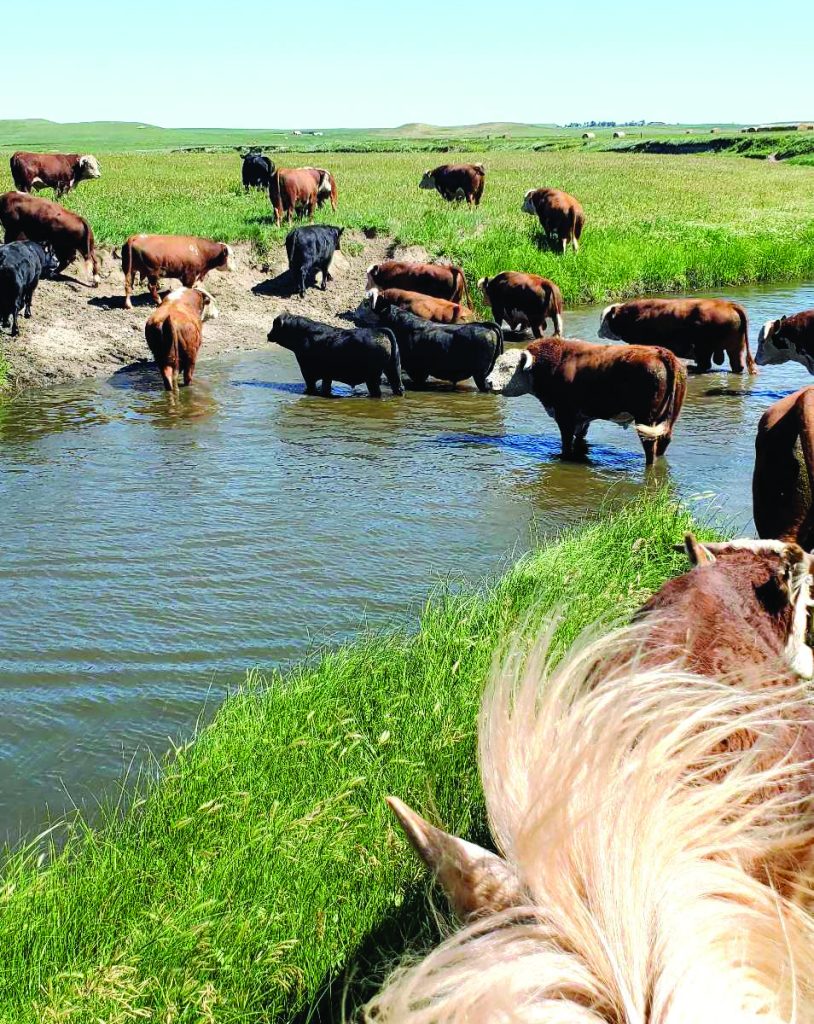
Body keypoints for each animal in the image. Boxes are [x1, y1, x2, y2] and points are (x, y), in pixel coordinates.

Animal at [267, 313, 403, 398]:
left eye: (275, 325)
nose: (268, 335)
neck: (303, 335)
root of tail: (378, 331)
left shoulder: (307, 372)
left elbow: (311, 387)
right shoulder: (327, 376)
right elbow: (326, 388)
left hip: (372, 378)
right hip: (393, 369)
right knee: (398, 388)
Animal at [484, 338, 686, 465]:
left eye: (508, 366)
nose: (488, 381)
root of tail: (660, 352)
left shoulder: (565, 415)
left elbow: (567, 442)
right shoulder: (583, 418)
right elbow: (579, 440)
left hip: (646, 418)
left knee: (650, 446)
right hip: (669, 418)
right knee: (664, 440)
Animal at [599, 297, 757, 375]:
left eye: (605, 319)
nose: (599, 332)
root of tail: (729, 305)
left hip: (703, 346)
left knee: (705, 364)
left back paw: (692, 368)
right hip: (736, 346)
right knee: (737, 364)